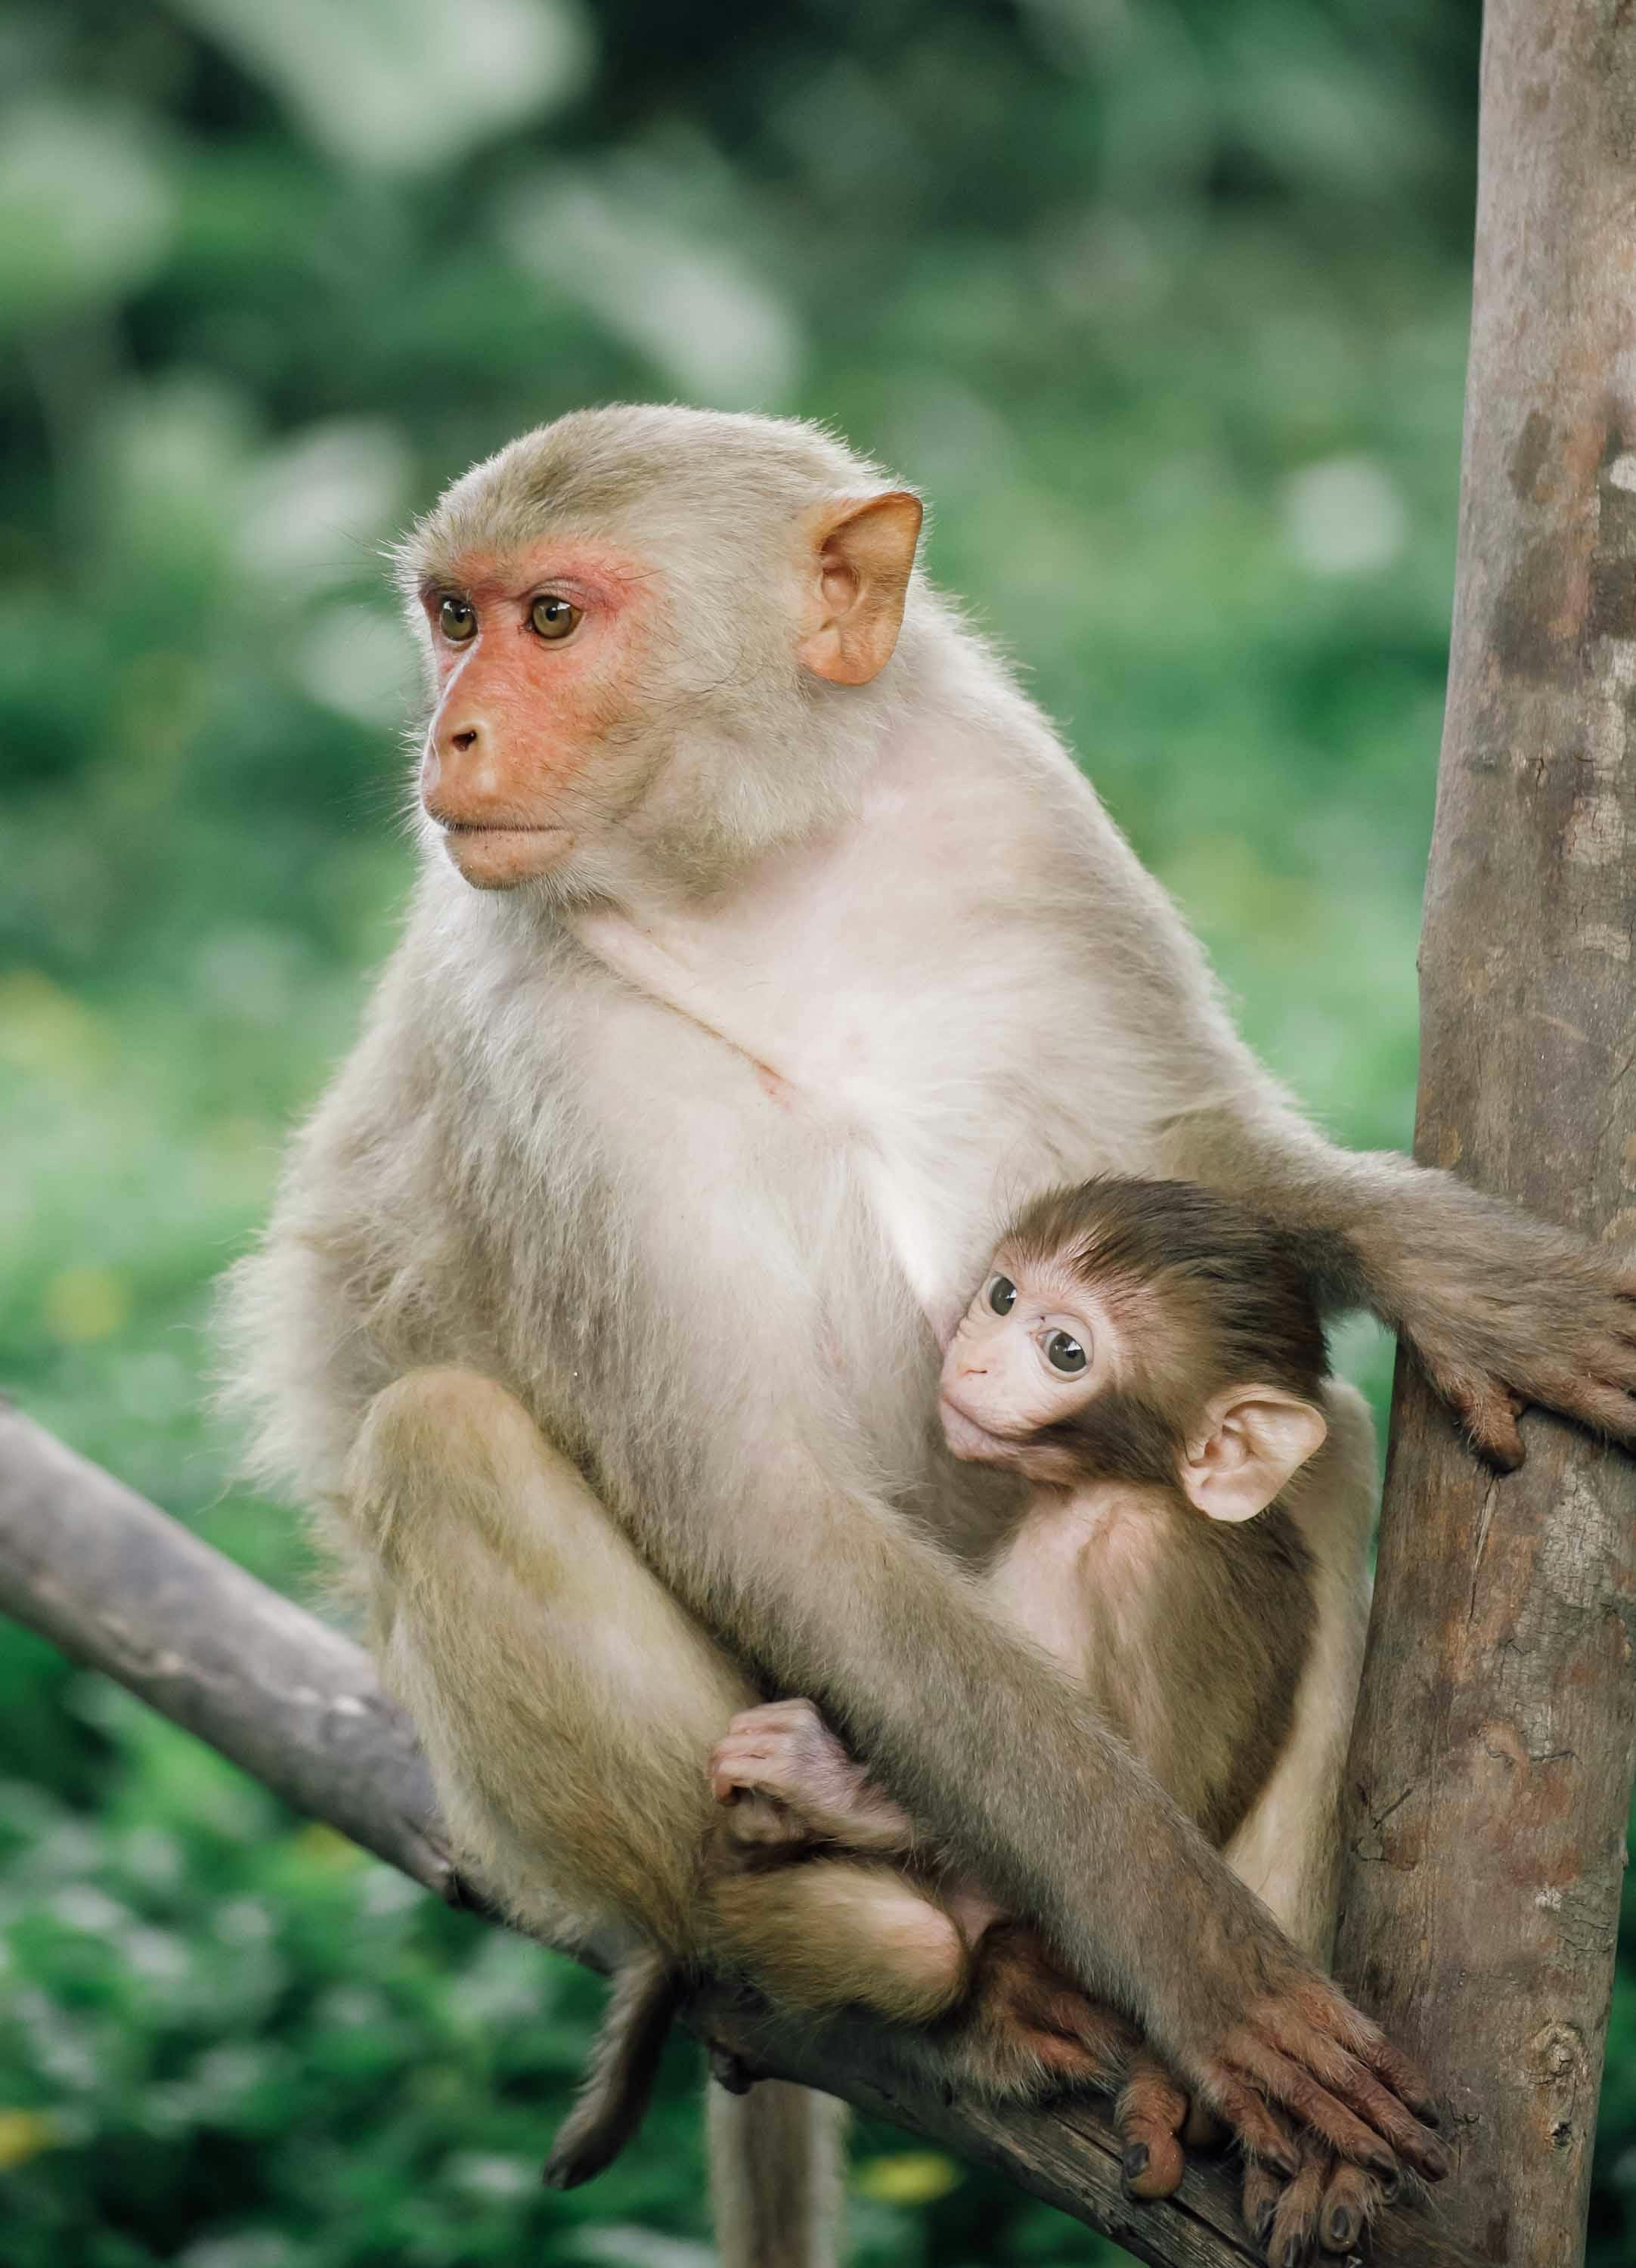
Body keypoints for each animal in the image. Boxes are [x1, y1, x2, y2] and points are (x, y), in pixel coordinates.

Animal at [547, 1176, 1381, 2264]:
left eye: (1064, 1350)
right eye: (1002, 1295)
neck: (1108, 1493)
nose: (976, 1355)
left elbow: (1148, 1811)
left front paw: (824, 1784)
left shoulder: (1153, 1563)